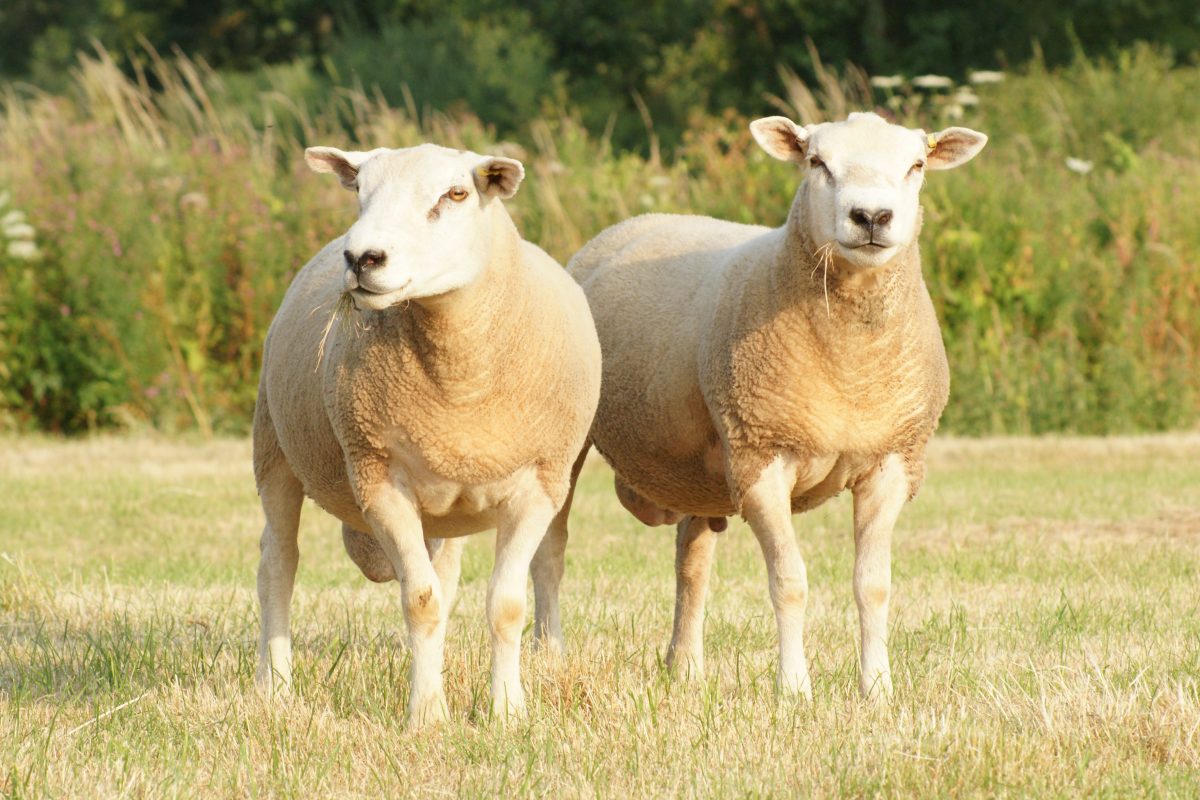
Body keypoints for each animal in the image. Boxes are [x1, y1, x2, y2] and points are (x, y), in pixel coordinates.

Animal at [252, 143, 601, 726]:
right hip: (273, 448)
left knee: (446, 576)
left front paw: (507, 711)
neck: (461, 384)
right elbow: (421, 601)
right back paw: (275, 686)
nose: (362, 259)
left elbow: (505, 605)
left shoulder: (539, 486)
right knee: (278, 562)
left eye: (456, 193)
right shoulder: (378, 481)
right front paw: (428, 714)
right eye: (358, 189)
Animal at [557, 112, 986, 699]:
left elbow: (873, 585)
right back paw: (545, 651)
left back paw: (685, 667)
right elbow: (790, 582)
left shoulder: (893, 460)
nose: (872, 216)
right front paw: (794, 689)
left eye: (916, 165)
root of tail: (629, 224)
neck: (850, 365)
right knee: (551, 549)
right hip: (569, 435)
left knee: (691, 563)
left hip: (702, 470)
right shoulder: (760, 458)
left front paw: (877, 688)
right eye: (817, 162)